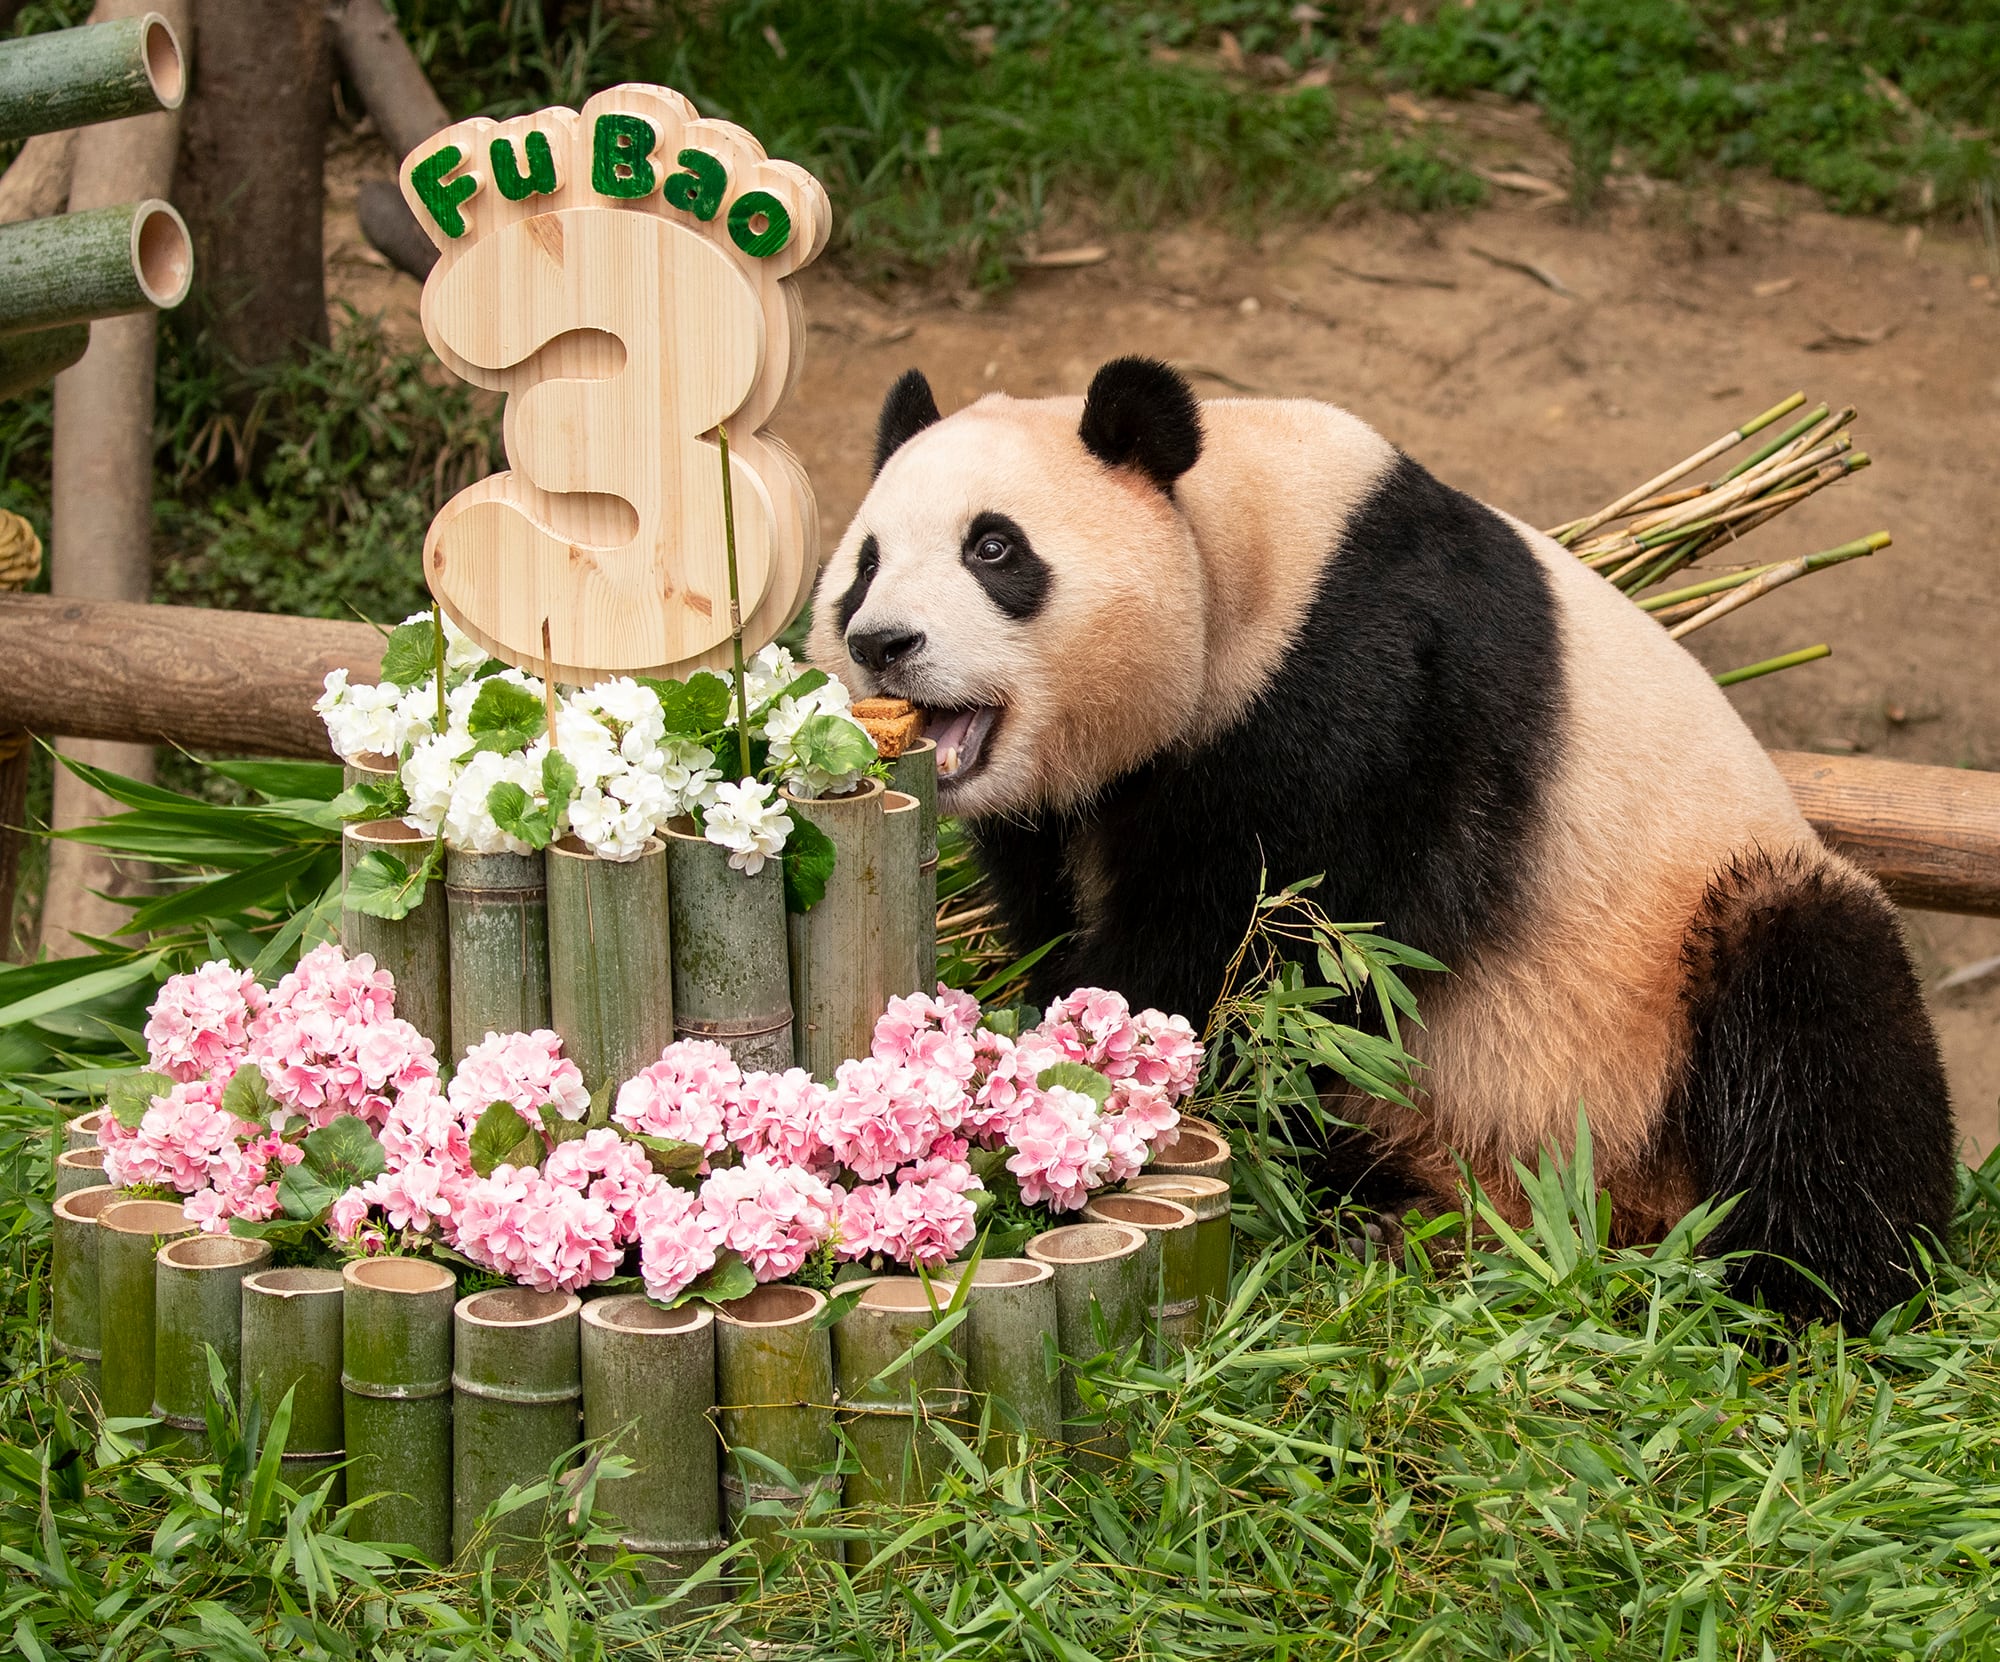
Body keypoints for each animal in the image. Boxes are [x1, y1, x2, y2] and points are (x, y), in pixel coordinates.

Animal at [808, 356, 1957, 1327]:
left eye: (994, 548)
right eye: (864, 563)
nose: (881, 643)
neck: (1250, 548)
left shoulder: (1370, 688)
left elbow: (1269, 946)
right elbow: (1066, 907)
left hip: (1668, 987)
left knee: (1817, 1014)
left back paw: (1796, 1292)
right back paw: (1380, 1216)